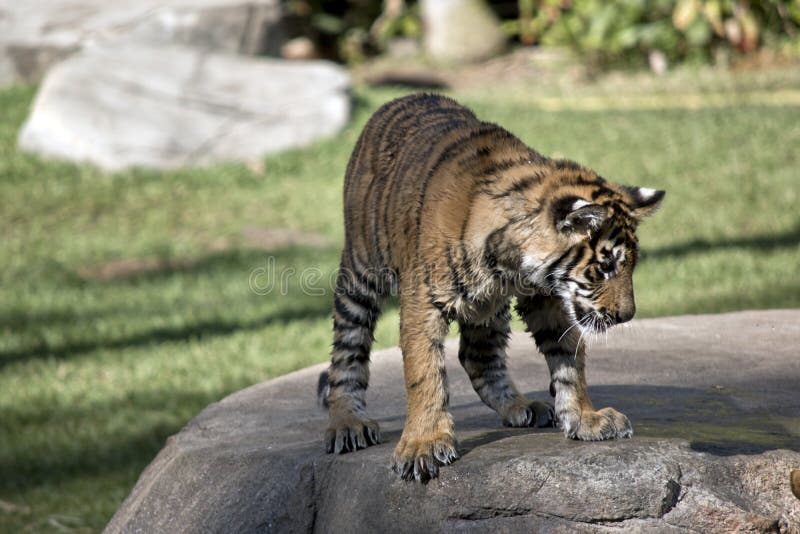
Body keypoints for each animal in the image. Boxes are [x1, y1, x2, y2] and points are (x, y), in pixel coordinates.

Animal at [318, 93, 665, 482]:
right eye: (605, 267)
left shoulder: (546, 298)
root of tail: (398, 100)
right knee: (347, 352)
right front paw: (422, 445)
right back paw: (348, 423)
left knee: (477, 356)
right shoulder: (423, 304)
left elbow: (569, 360)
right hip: (360, 275)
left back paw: (519, 405)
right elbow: (425, 375)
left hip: (489, 309)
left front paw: (584, 418)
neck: (512, 263)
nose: (626, 315)